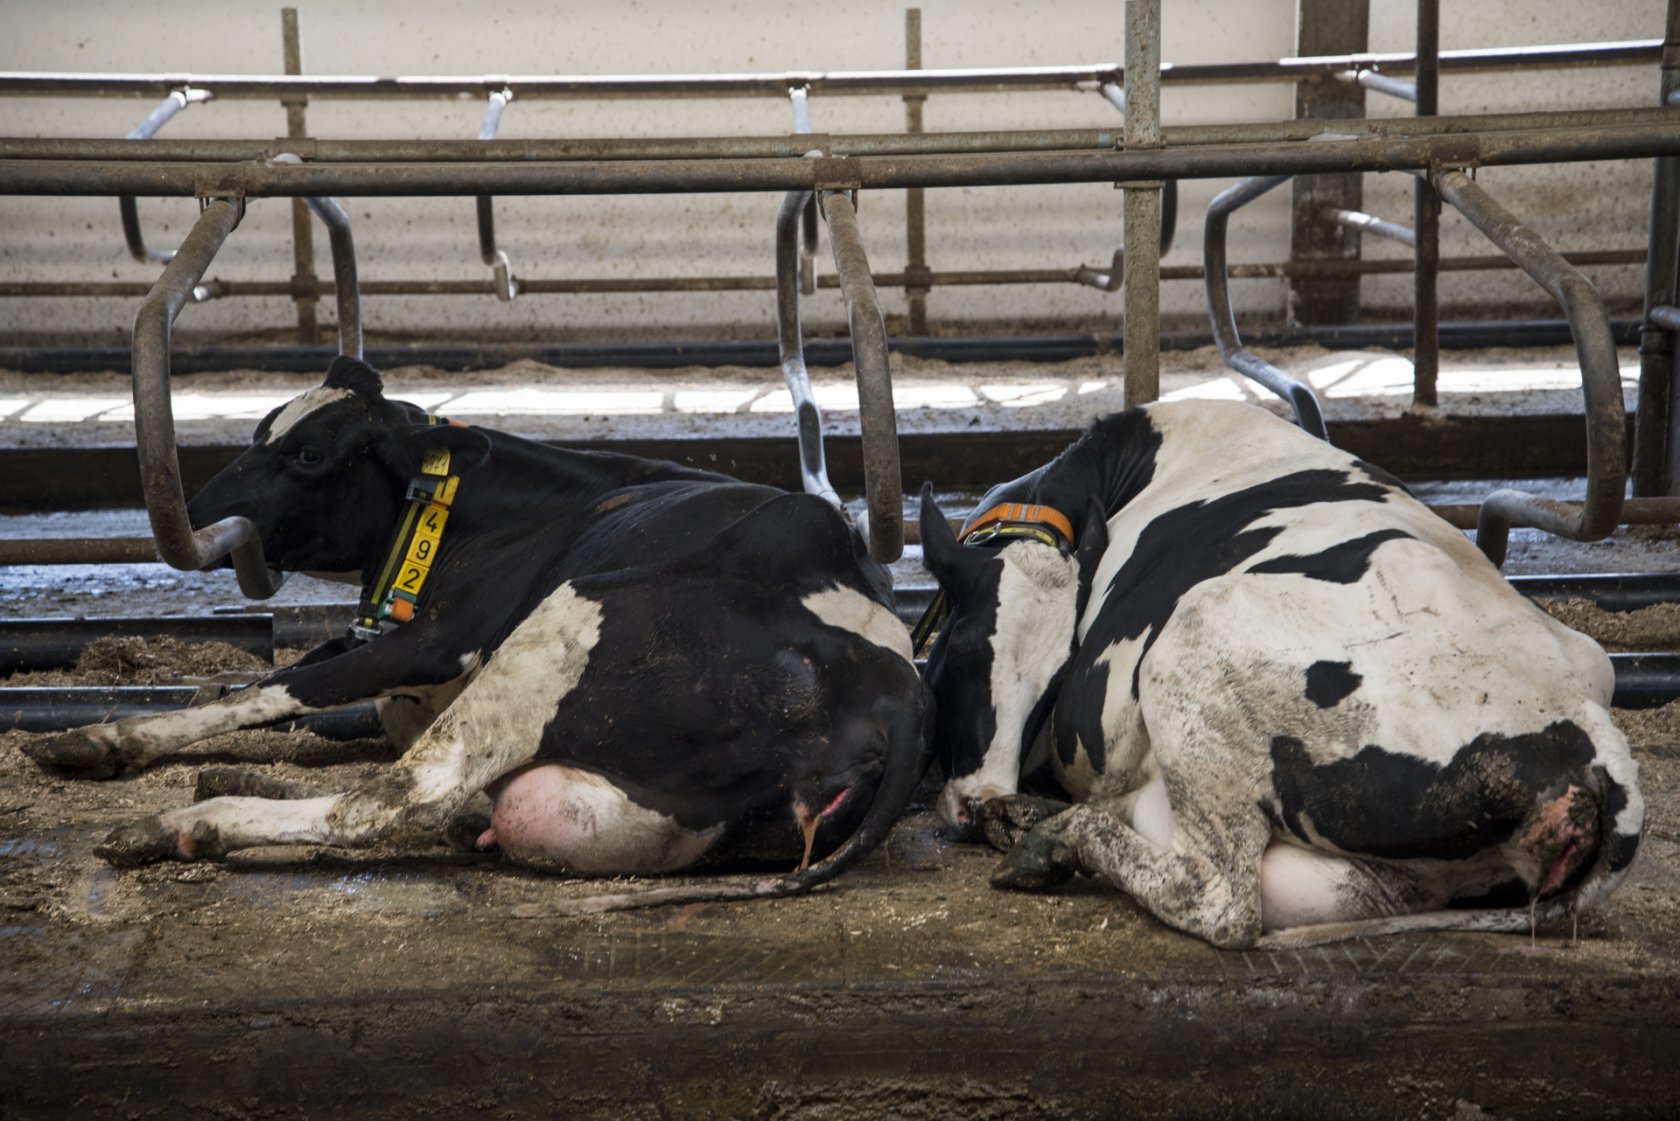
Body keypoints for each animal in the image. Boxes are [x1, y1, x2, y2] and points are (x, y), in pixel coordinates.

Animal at [23, 356, 933, 912]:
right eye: (261, 428)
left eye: (309, 454)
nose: (199, 516)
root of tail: (894, 685)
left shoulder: (438, 643)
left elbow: (278, 687)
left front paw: (109, 736)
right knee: (448, 803)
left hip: (559, 629)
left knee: (389, 799)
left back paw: (187, 821)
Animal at [916, 399, 1643, 948]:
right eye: (963, 655)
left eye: (1051, 690)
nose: (978, 800)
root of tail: (1598, 762)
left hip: (1197, 637)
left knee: (1222, 901)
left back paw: (1049, 837)